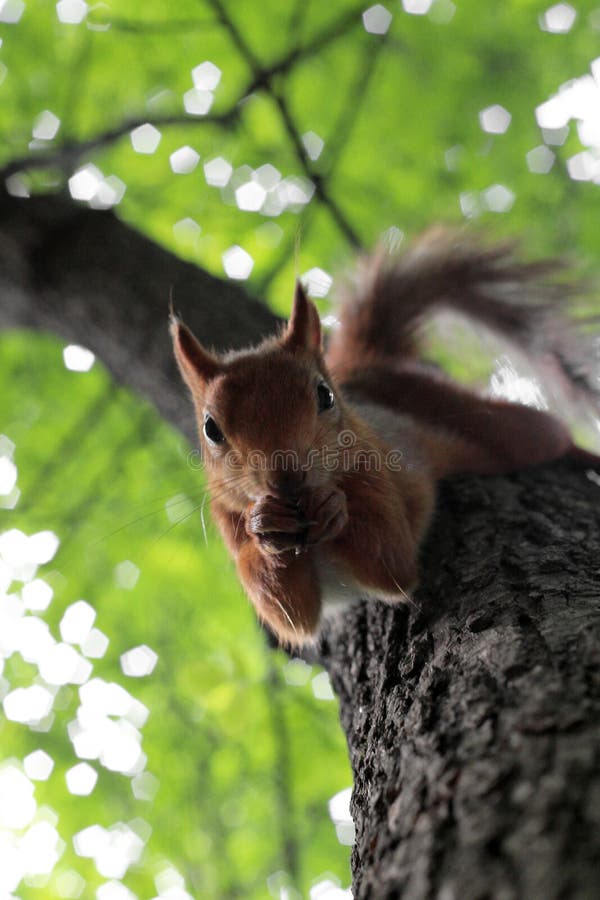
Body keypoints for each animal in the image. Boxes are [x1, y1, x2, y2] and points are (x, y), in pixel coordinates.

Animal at [171, 228, 600, 647]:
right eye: (210, 428)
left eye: (325, 396)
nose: (287, 479)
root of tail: (369, 370)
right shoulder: (229, 522)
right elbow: (289, 612)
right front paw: (265, 523)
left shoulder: (385, 473)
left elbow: (389, 558)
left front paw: (334, 506)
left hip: (497, 430)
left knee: (548, 433)